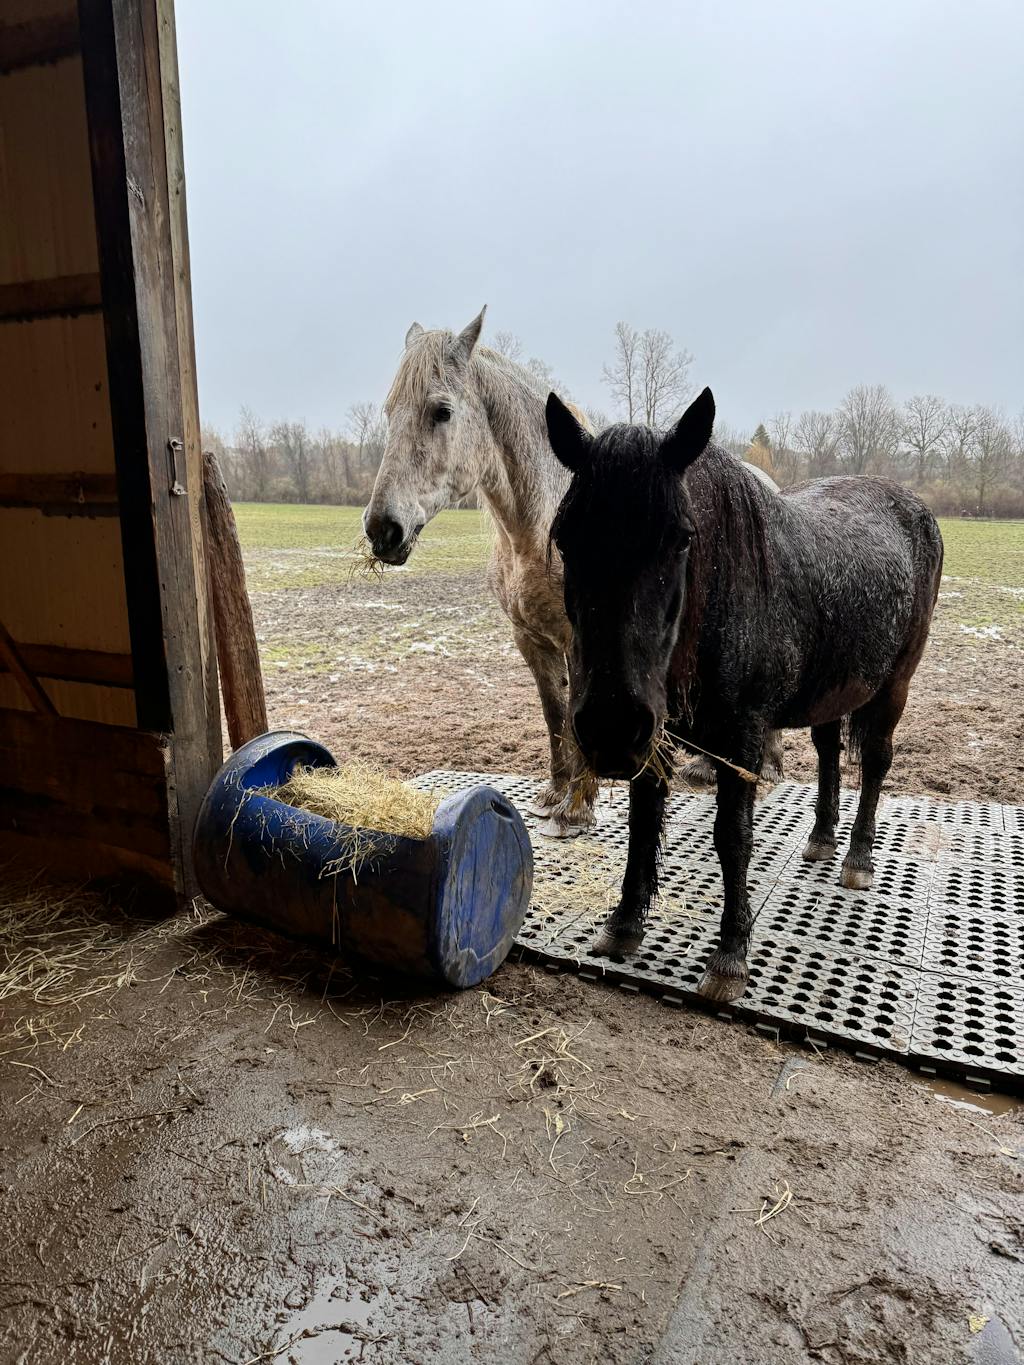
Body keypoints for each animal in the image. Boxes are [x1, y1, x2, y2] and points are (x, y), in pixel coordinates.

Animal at [362, 309, 783, 834]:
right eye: (389, 411)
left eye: (441, 411)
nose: (382, 529)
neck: (534, 529)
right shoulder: (530, 639)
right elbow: (554, 713)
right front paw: (555, 792)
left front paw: (579, 805)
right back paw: (709, 768)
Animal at [545, 386, 943, 1003]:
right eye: (566, 538)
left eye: (681, 537)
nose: (610, 726)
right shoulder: (654, 737)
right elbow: (643, 823)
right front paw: (624, 923)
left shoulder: (742, 738)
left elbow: (733, 839)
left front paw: (731, 954)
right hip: (832, 689)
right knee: (829, 753)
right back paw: (822, 838)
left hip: (894, 686)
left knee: (876, 762)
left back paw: (857, 857)